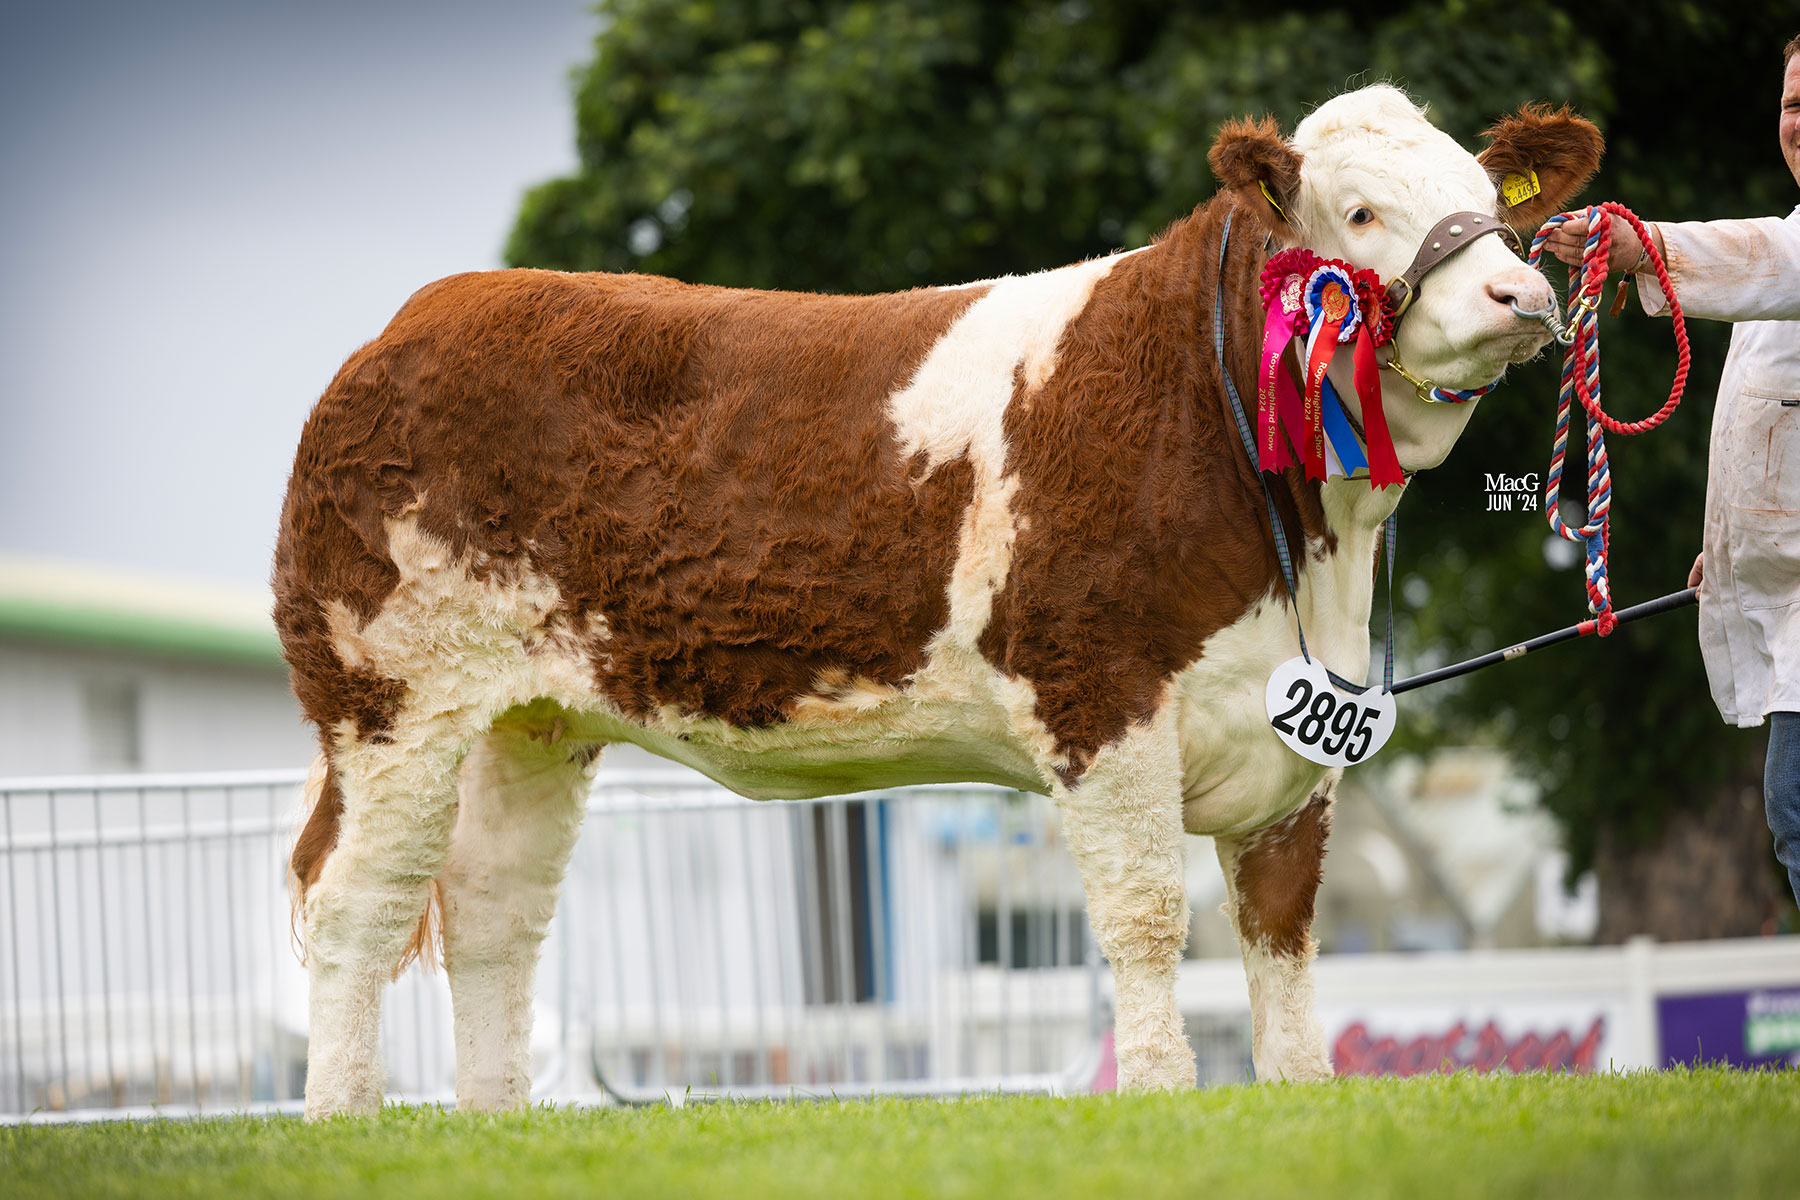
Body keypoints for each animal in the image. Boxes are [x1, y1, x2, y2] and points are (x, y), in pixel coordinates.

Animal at [276, 84, 1601, 1117]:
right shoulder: (1100, 694)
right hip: (388, 701)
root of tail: (420, 318)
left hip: (531, 724)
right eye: (1362, 211)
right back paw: (344, 1118)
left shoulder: (1301, 737)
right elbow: (1146, 914)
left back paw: (494, 1119)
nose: (1520, 298)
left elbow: (1281, 932)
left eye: (1493, 199)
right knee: (355, 906)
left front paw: (1299, 1092)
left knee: (493, 916)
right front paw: (1162, 1097)